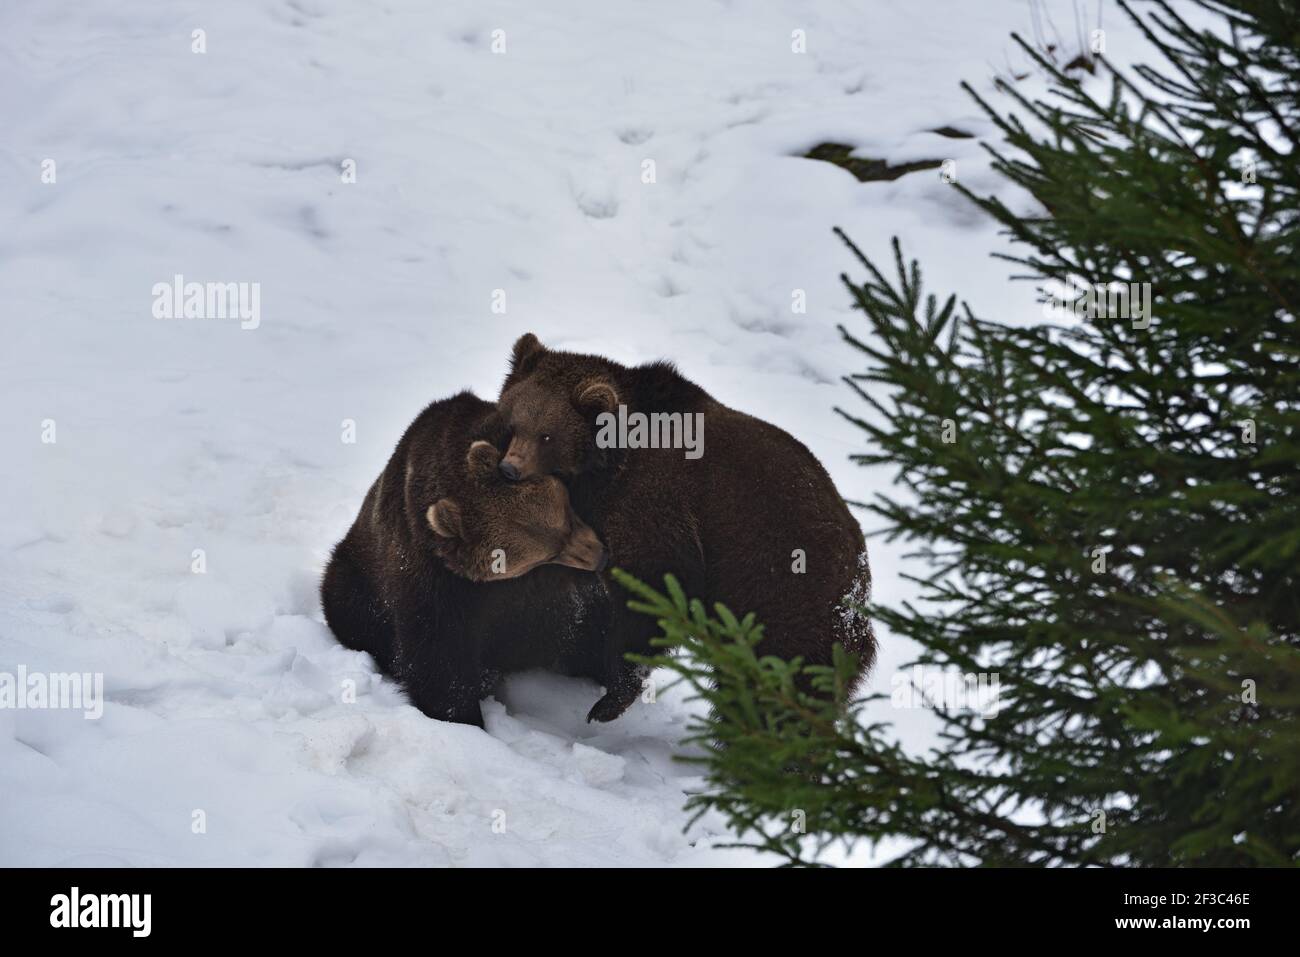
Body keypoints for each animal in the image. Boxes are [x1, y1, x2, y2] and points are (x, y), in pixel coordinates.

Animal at [321, 390, 613, 728]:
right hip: (356, 583)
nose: (600, 556)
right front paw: (463, 717)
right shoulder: (432, 570)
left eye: (568, 516)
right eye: (548, 552)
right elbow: (438, 647)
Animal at [495, 333, 875, 723]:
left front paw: (610, 700)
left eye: (547, 436)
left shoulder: (657, 505)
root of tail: (859, 592)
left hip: (783, 605)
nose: (509, 469)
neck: (610, 463)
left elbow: (655, 585)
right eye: (513, 423)